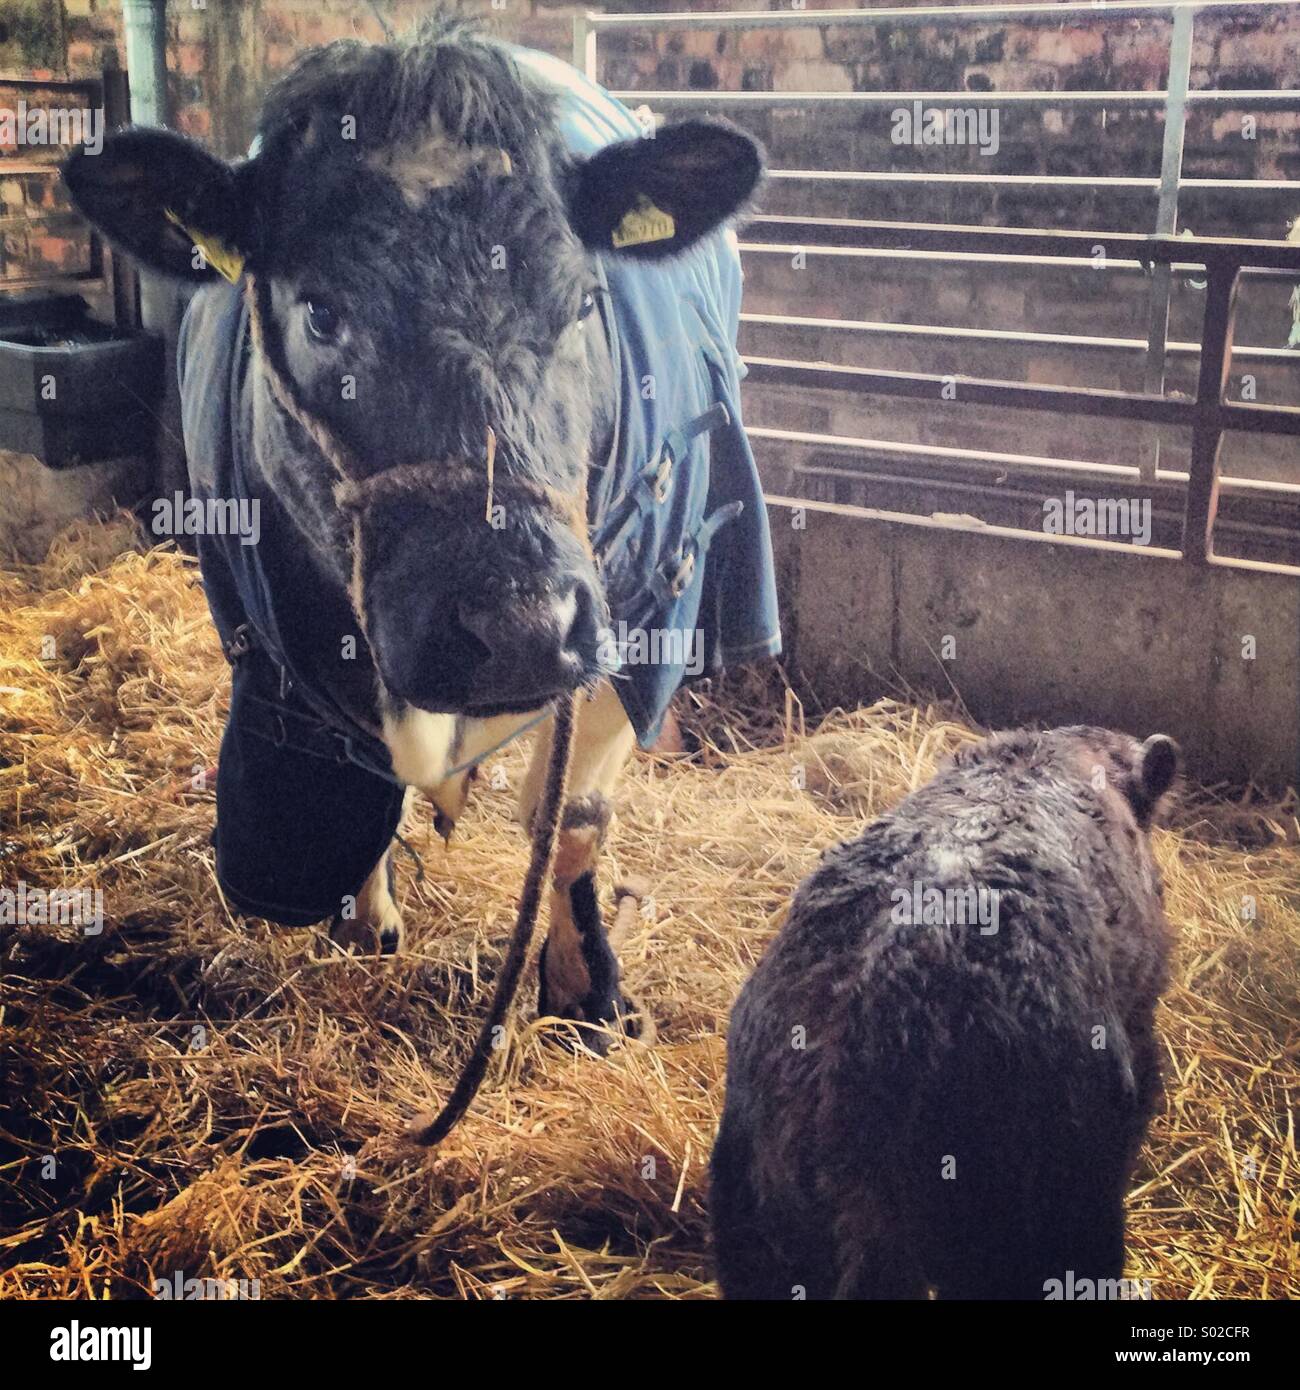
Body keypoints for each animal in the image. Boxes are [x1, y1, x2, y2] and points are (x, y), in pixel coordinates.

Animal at [62, 18, 780, 1050]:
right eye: (321, 312)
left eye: (584, 302)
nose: (519, 626)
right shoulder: (274, 647)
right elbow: (363, 782)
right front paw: (370, 917)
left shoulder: (644, 616)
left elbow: (574, 816)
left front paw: (587, 991)